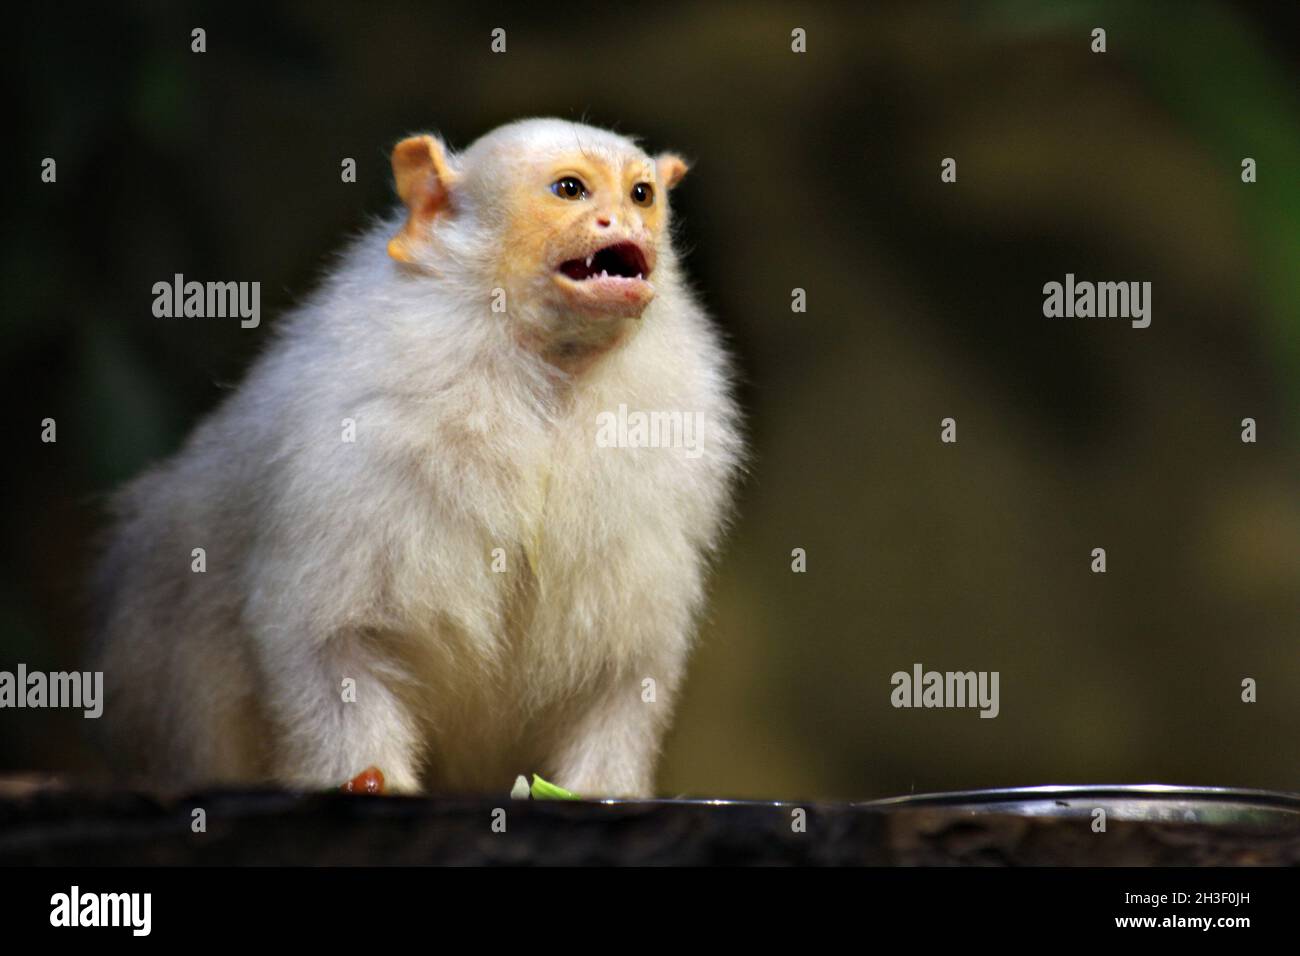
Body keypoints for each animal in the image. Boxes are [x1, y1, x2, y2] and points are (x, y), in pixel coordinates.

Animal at [90, 119, 743, 797]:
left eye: (642, 194)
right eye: (571, 190)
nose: (626, 223)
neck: (544, 370)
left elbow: (622, 673)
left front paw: (597, 791)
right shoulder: (357, 436)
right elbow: (327, 639)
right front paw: (369, 779)